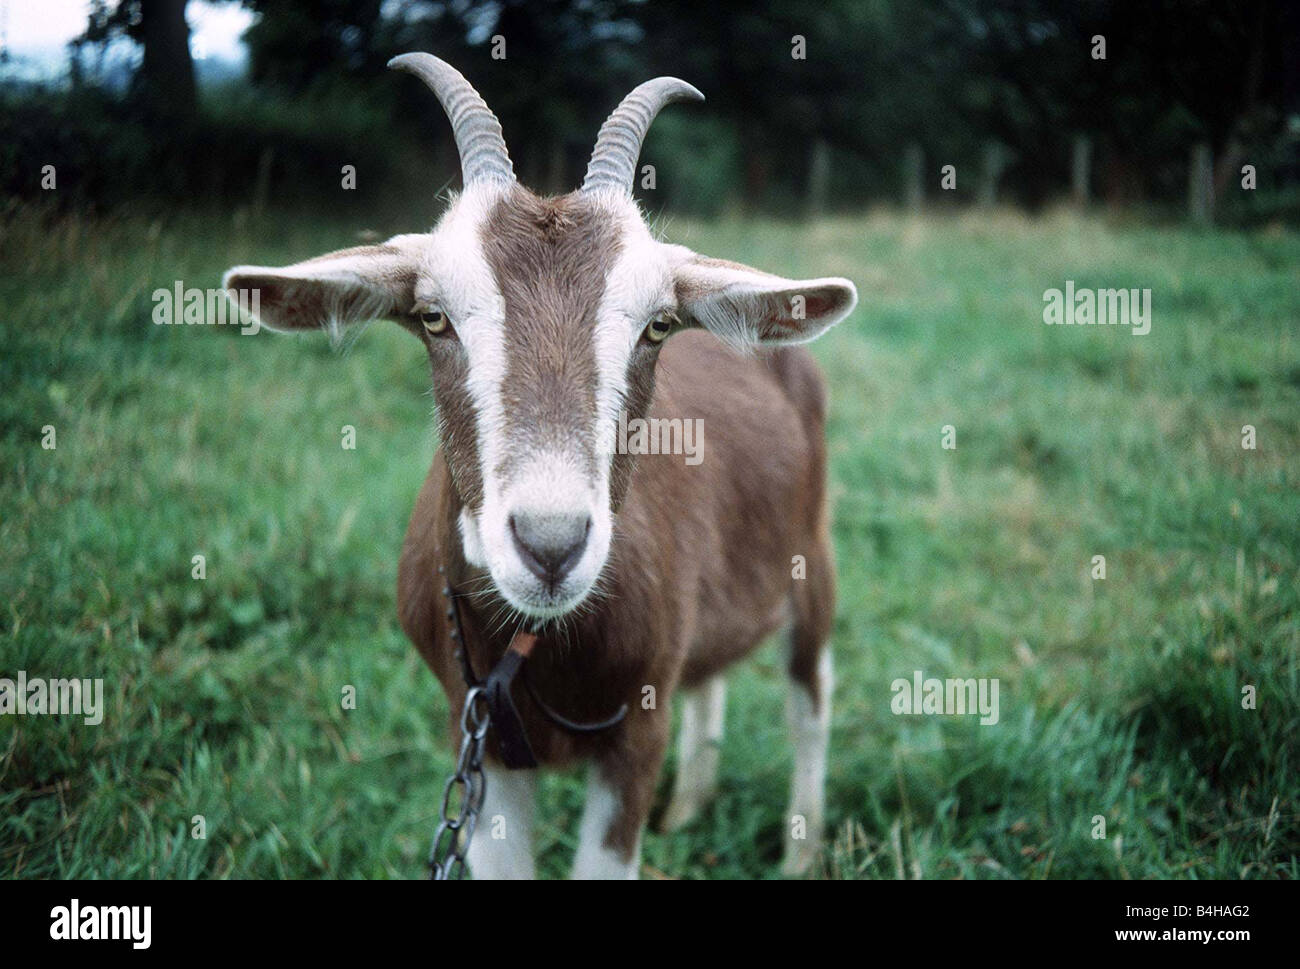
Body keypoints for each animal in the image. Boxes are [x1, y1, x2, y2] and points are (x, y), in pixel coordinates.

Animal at [223, 54, 857, 879]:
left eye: (658, 325)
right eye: (433, 316)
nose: (550, 543)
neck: (535, 646)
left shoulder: (634, 735)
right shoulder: (480, 738)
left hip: (812, 560)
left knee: (810, 695)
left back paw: (799, 852)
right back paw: (690, 806)